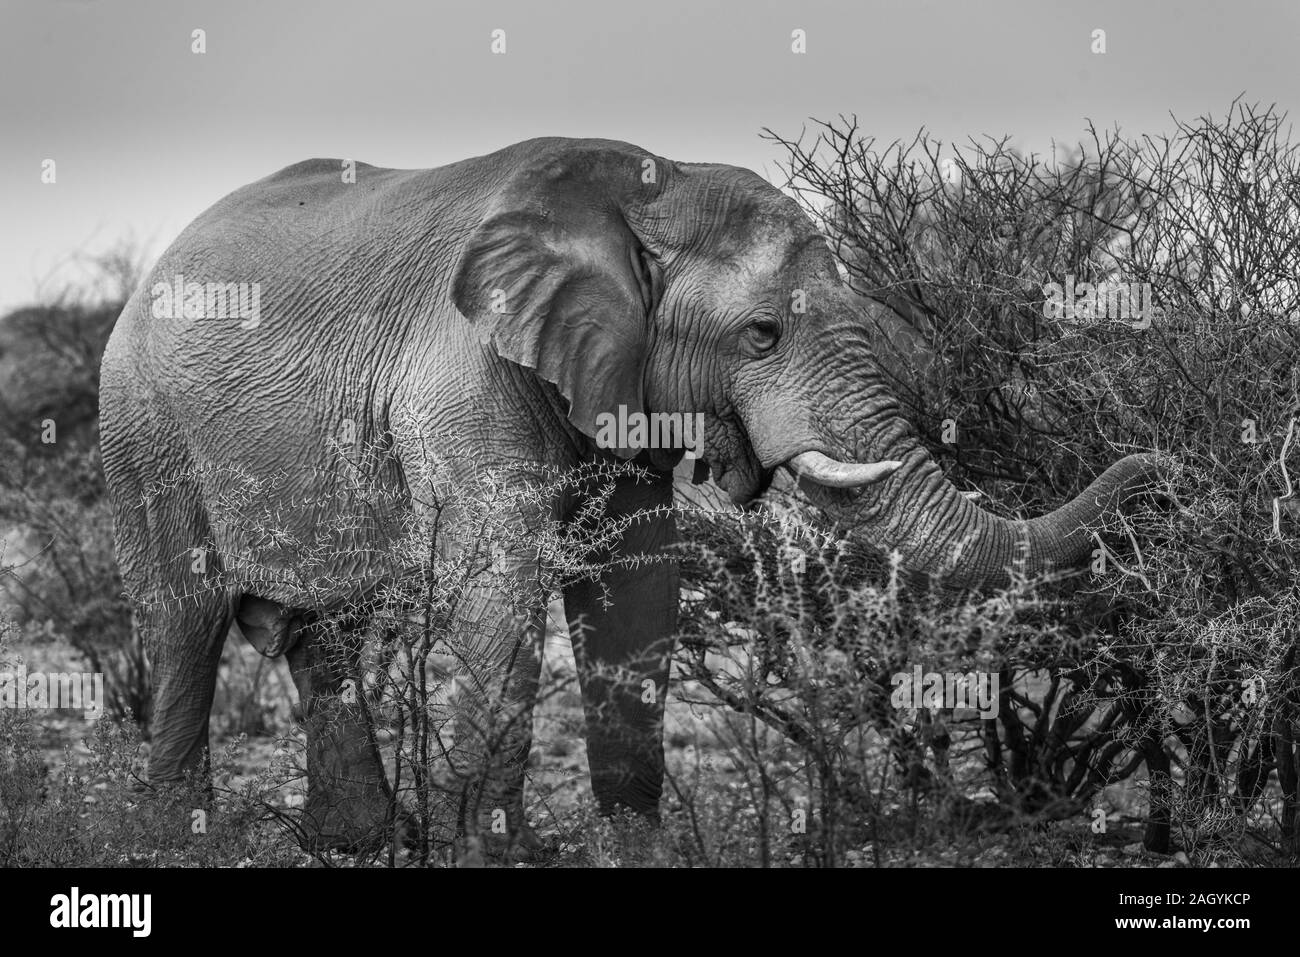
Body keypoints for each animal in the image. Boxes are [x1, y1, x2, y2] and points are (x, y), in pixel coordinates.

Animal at [98, 137, 1165, 854]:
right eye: (763, 334)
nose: (1155, 467)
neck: (649, 184)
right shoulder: (462, 371)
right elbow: (500, 591)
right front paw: (499, 850)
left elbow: (638, 590)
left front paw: (636, 847)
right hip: (142, 428)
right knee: (184, 619)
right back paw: (174, 836)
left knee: (328, 635)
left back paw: (357, 840)